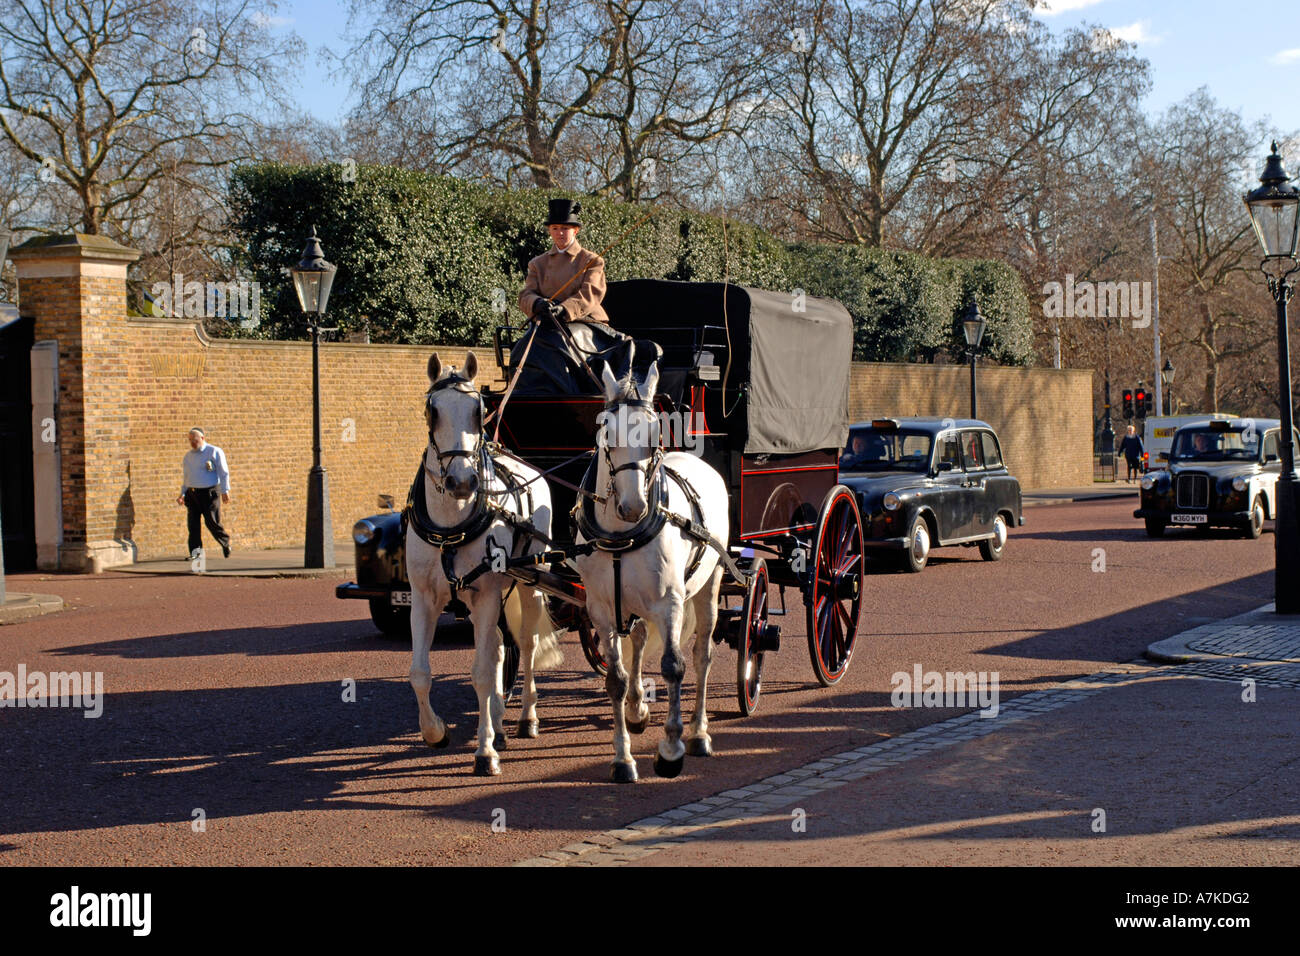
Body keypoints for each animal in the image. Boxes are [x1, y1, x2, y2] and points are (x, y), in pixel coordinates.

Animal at [405, 351, 561, 776]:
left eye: (478, 411)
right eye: (431, 411)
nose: (462, 483)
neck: (450, 526)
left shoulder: (487, 593)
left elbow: (479, 672)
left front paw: (484, 752)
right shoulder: (423, 598)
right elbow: (420, 673)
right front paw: (435, 732)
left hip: (527, 585)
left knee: (524, 644)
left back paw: (525, 719)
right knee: (498, 651)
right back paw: (500, 725)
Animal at [573, 354, 729, 783]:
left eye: (656, 431)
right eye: (604, 432)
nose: (632, 507)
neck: (620, 534)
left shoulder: (669, 603)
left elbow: (674, 667)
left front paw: (671, 748)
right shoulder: (602, 610)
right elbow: (615, 677)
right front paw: (622, 757)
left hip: (710, 585)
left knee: (702, 654)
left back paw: (699, 732)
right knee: (640, 640)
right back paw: (637, 708)